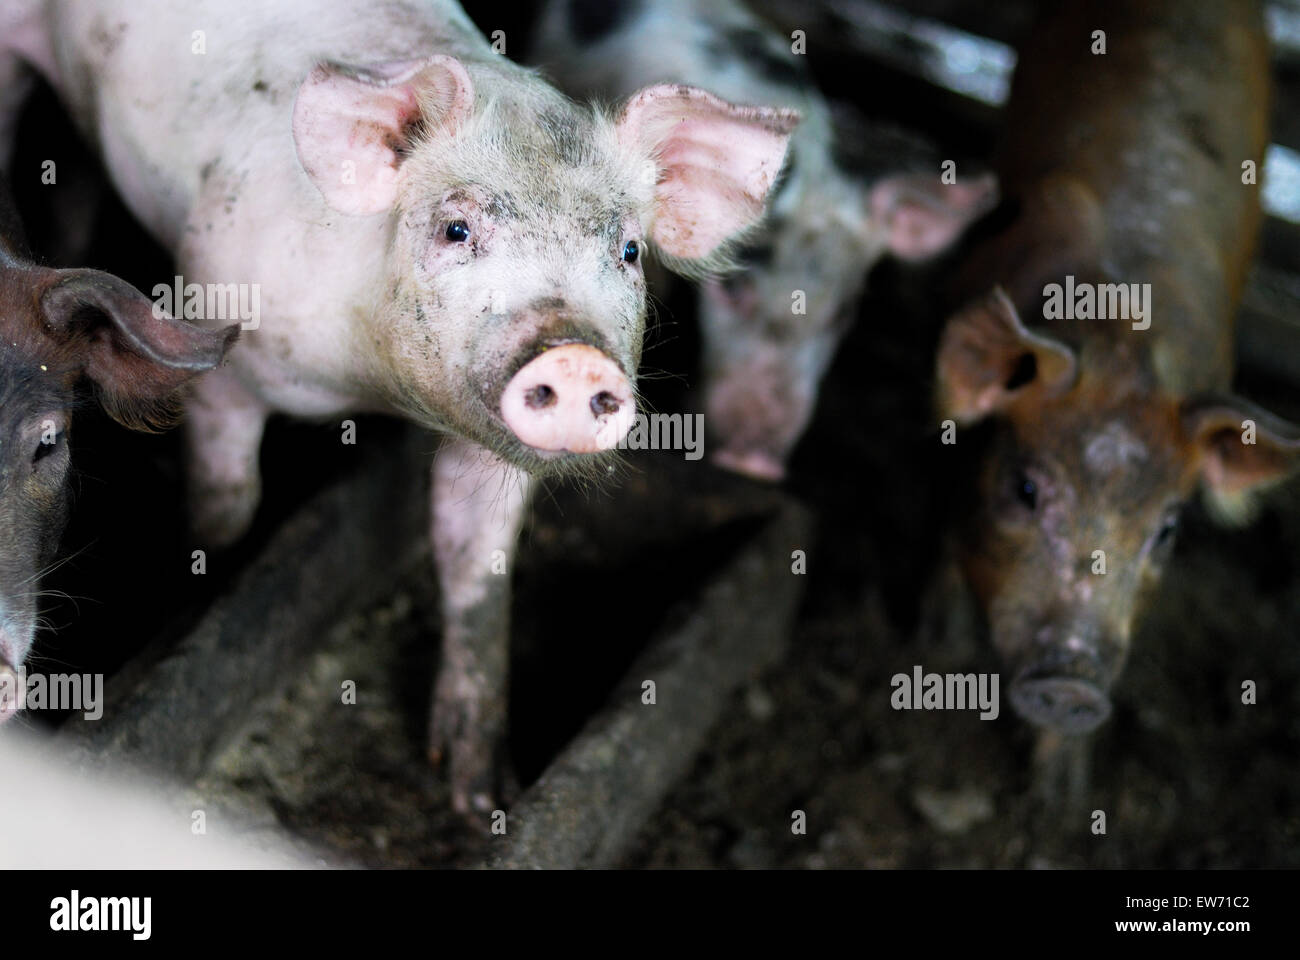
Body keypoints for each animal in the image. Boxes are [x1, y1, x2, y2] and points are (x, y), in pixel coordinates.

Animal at [936, 0, 1298, 749]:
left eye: (1167, 531)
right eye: (1024, 491)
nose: (1071, 682)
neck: (1127, 350)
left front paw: (1060, 780)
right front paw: (939, 643)